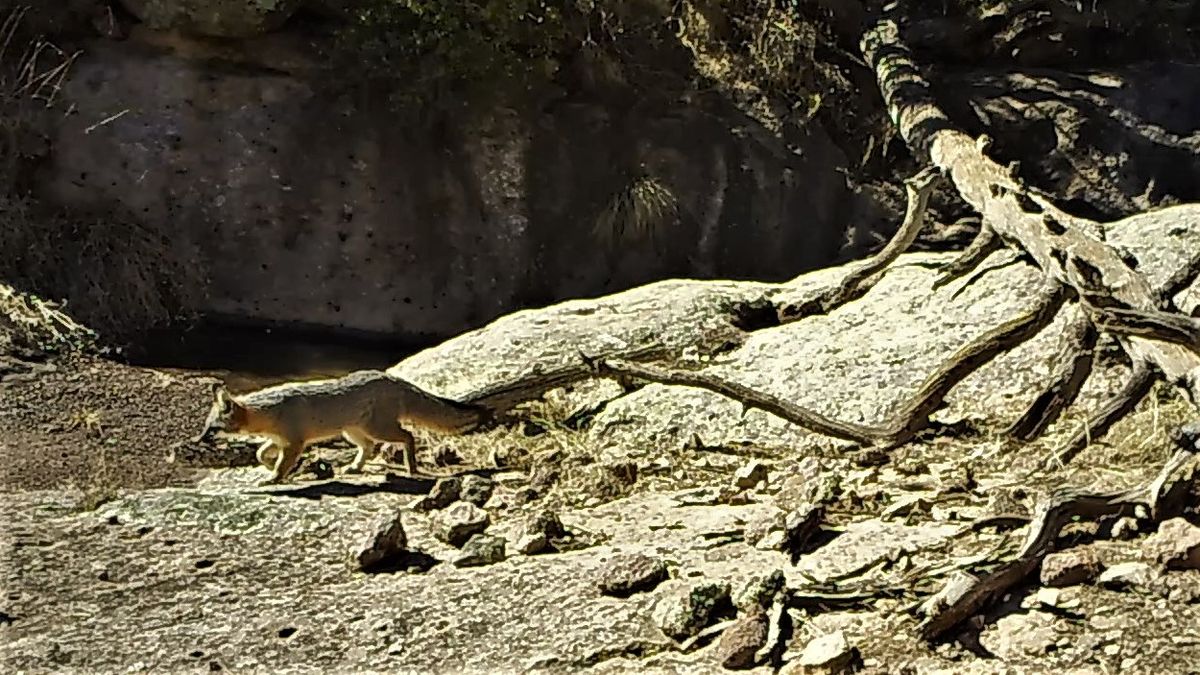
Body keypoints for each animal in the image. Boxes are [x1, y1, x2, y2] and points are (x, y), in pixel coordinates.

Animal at [194, 370, 489, 485]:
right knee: (369, 448)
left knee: (408, 436)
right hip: (354, 432)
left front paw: (274, 477)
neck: (271, 410)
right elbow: (259, 453)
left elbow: (280, 462)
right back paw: (355, 467)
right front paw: (268, 466)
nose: (197, 440)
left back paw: (411, 467)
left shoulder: (294, 443)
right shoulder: (280, 440)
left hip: (378, 428)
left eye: (211, 430)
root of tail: (390, 377)